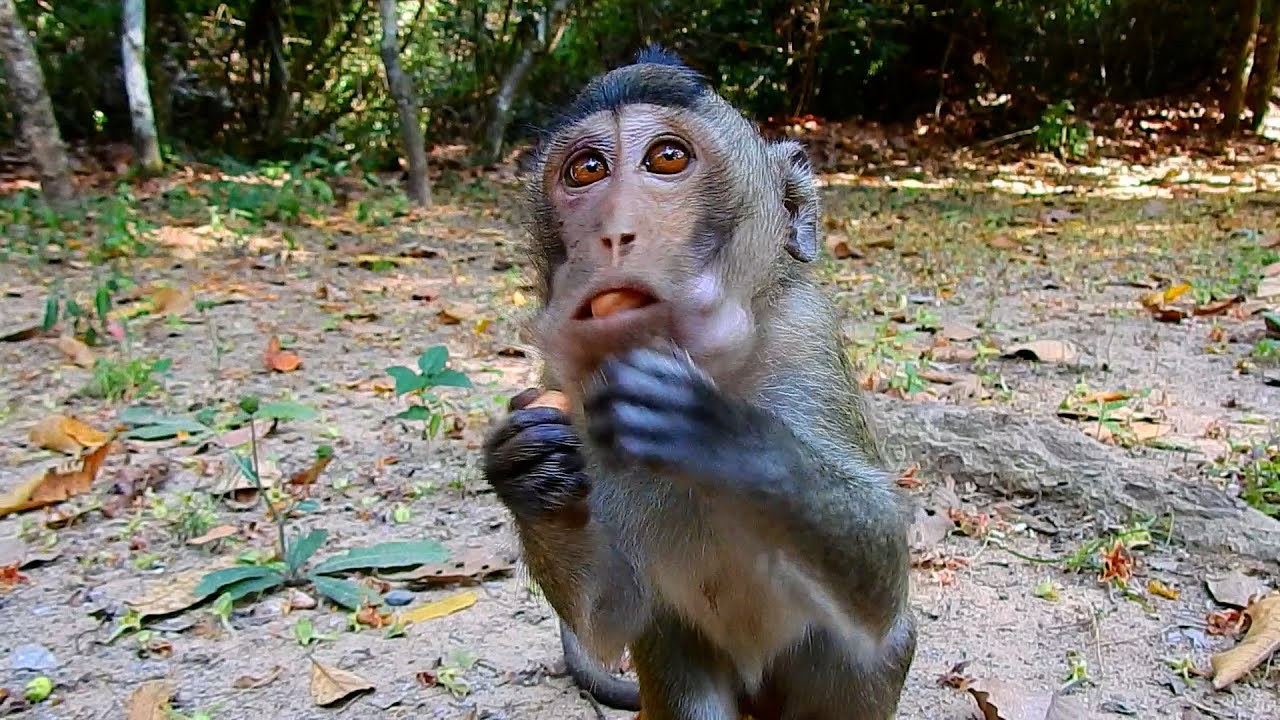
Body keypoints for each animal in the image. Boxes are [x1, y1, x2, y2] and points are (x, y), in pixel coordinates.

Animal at [481, 46, 916, 719]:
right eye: (586, 170)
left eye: (667, 158)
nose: (613, 232)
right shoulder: (563, 381)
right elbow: (611, 616)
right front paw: (530, 470)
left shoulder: (807, 344)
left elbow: (883, 577)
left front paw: (720, 433)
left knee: (871, 644)